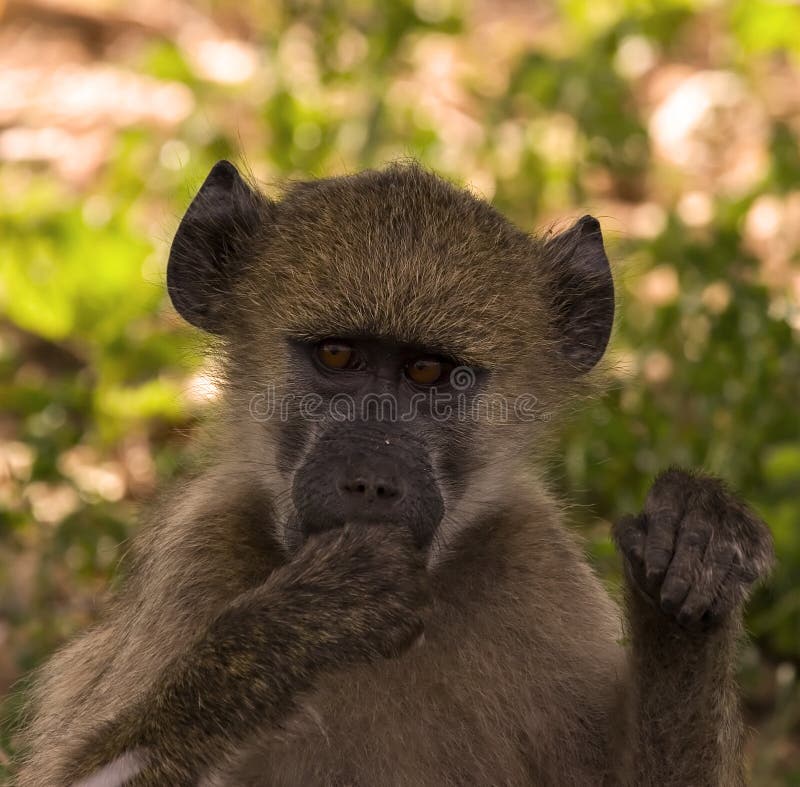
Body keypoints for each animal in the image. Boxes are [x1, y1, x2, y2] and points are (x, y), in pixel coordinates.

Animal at [12, 160, 773, 787]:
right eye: (337, 355)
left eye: (428, 372)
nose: (372, 483)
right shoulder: (199, 555)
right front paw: (309, 615)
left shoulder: (533, 561)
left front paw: (696, 546)